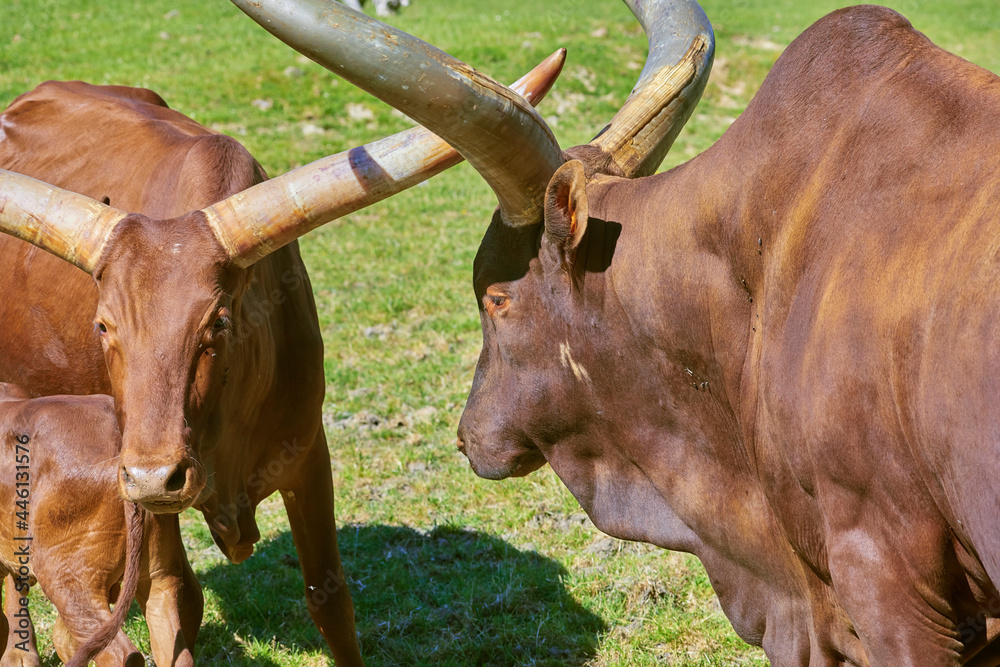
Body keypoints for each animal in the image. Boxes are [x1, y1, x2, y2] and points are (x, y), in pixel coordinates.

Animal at [0, 51, 564, 665]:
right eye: (103, 325)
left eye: (218, 322)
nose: (153, 478)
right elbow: (173, 596)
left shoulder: (309, 451)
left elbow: (329, 598)